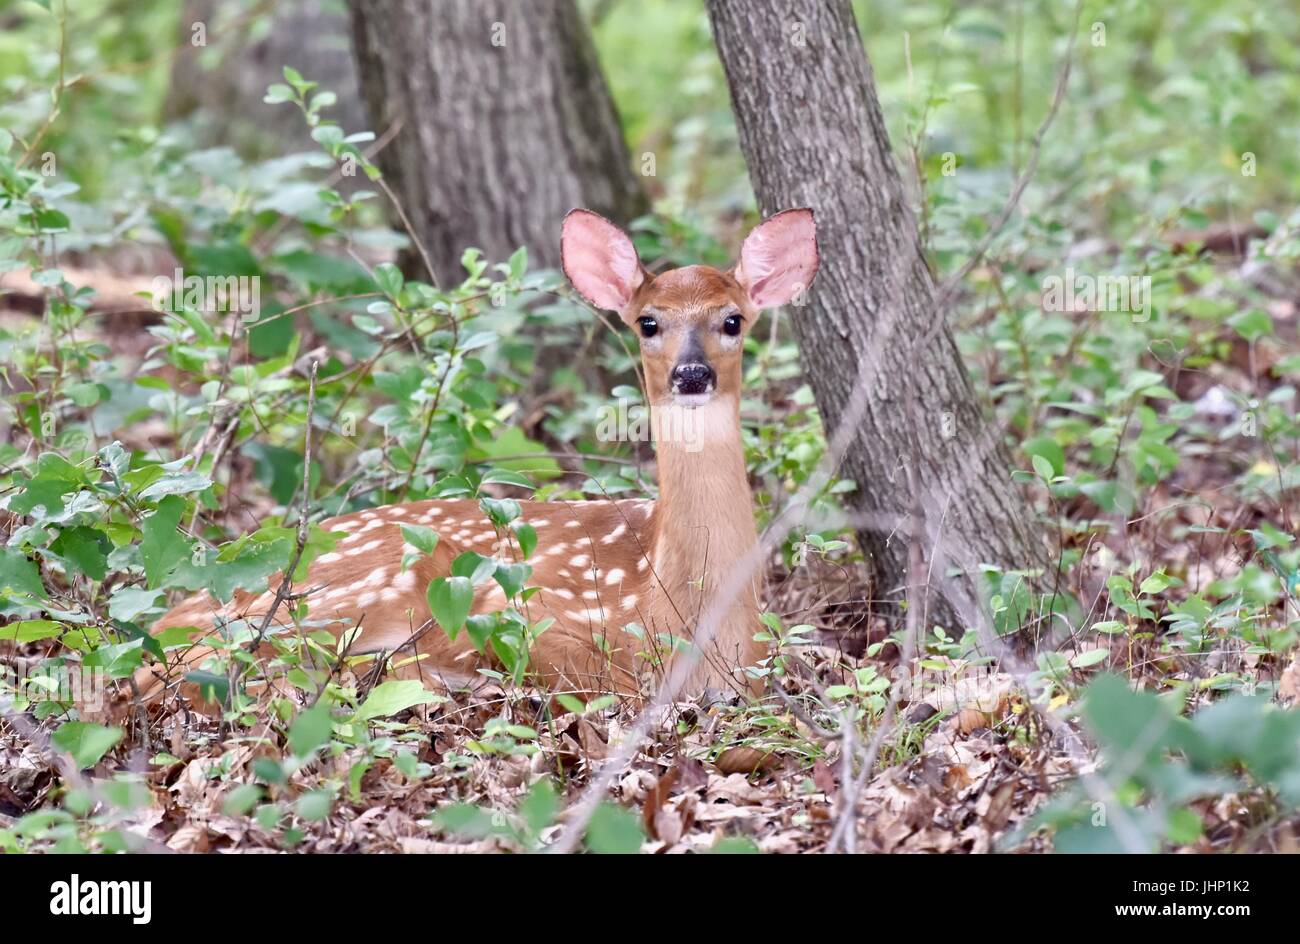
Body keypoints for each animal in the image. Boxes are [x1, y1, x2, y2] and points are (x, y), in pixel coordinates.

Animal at [128, 208, 819, 711]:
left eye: (734, 320)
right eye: (647, 322)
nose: (692, 373)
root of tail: (178, 614)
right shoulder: (526, 616)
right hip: (374, 584)